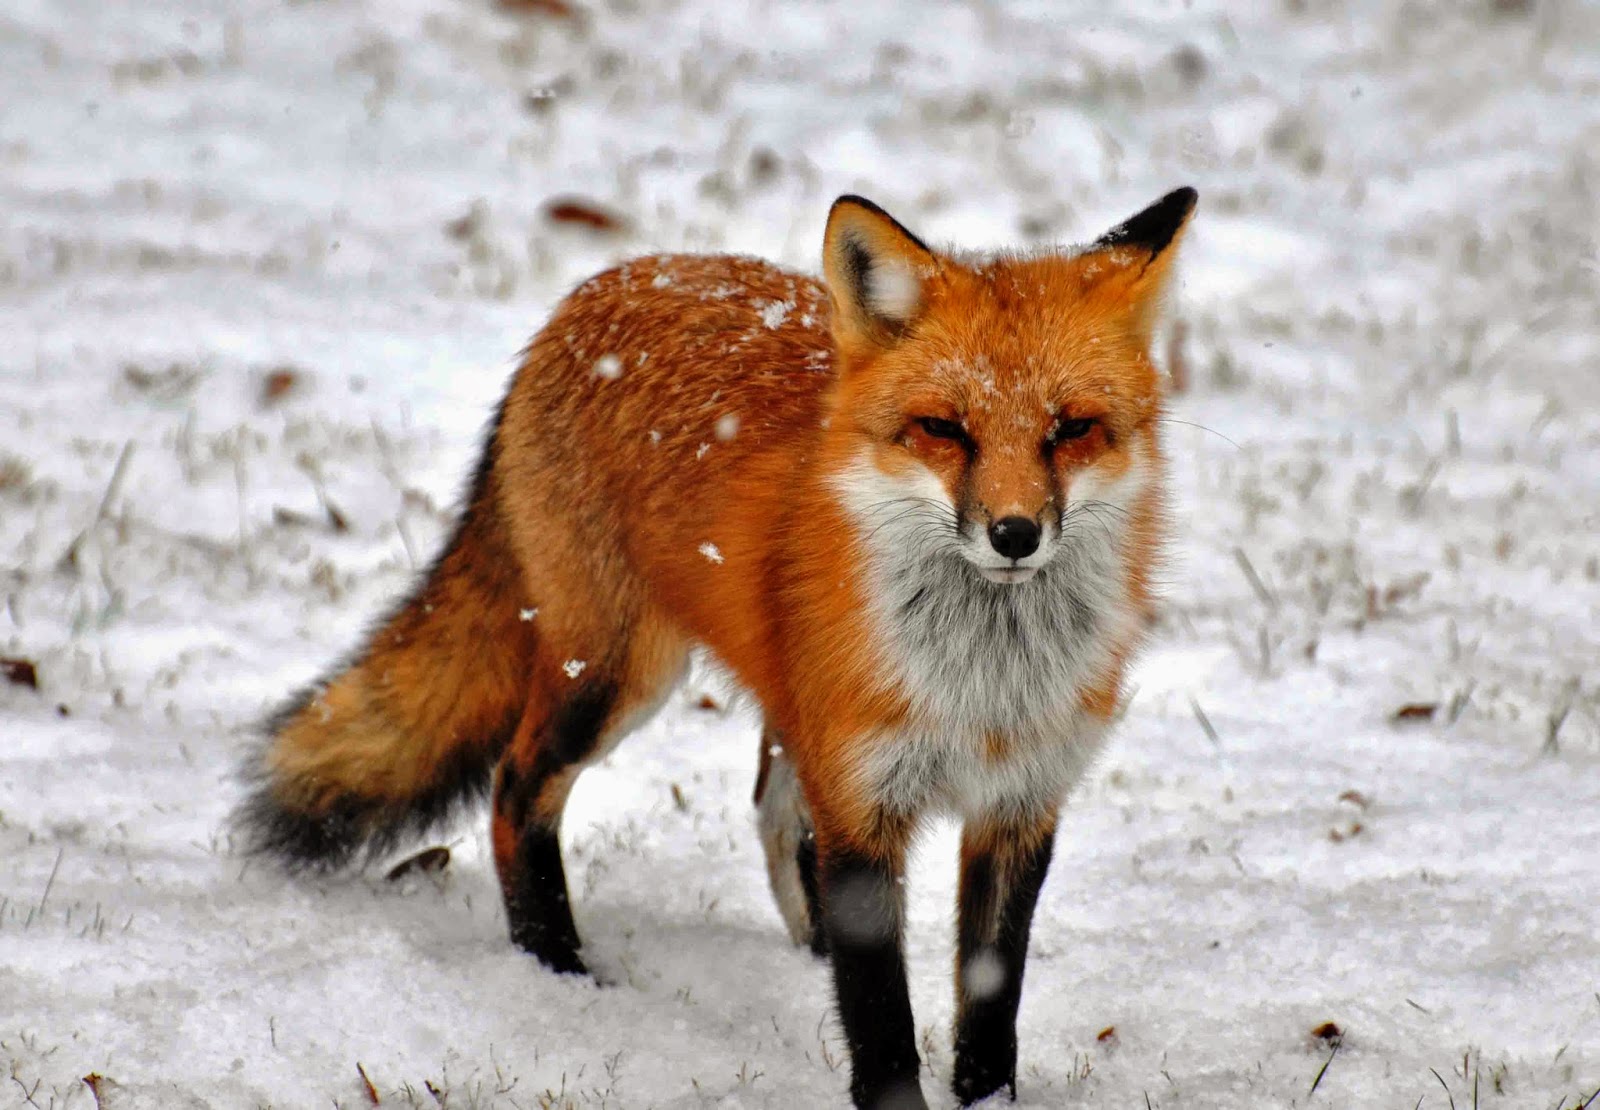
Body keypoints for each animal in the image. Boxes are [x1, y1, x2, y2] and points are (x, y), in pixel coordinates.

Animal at [236, 186, 1197, 1109]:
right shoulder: (862, 803)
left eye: (1071, 429)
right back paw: (556, 971)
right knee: (515, 791)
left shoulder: (1019, 802)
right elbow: (882, 1018)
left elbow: (989, 1004)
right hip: (615, 678)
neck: (984, 684)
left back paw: (799, 956)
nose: (1014, 534)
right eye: (945, 429)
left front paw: (988, 1100)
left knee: (772, 811)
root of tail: (604, 287)